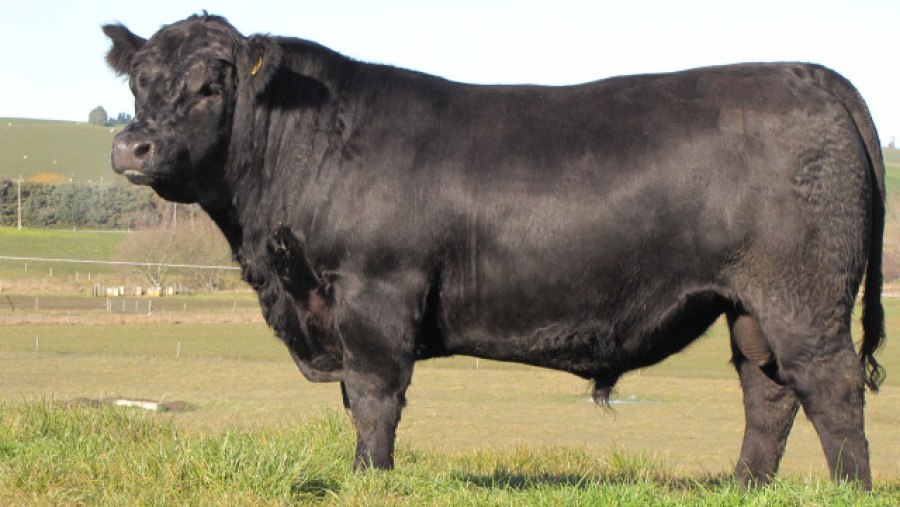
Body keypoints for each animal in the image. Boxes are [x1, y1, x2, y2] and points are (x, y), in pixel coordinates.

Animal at [104, 13, 886, 488]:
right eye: (138, 82)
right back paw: (743, 486)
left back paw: (849, 488)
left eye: (210, 86)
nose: (132, 146)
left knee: (831, 385)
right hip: (747, 302)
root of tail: (806, 72)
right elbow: (357, 396)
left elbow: (375, 395)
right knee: (768, 389)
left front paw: (370, 478)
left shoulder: (375, 289)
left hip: (803, 293)